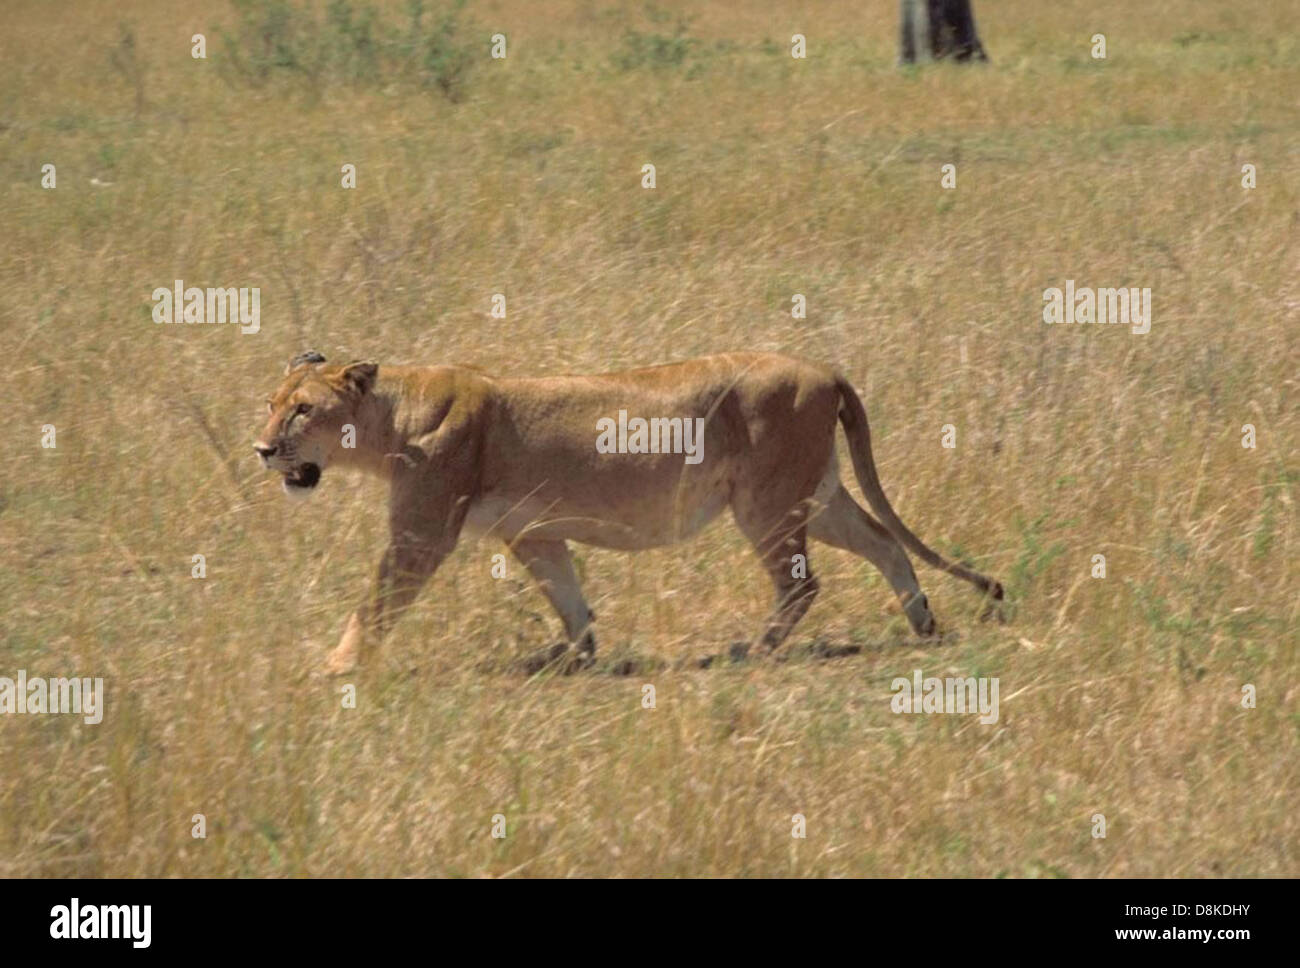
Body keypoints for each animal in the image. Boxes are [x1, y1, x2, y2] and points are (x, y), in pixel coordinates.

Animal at [254, 350, 1003, 675]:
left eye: (303, 409)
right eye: (270, 402)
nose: (261, 449)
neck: (389, 419)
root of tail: (824, 368)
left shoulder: (422, 534)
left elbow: (374, 604)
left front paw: (336, 667)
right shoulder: (531, 533)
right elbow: (569, 598)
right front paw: (572, 656)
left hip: (765, 502)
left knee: (803, 584)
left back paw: (749, 651)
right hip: (813, 498)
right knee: (885, 542)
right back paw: (924, 624)